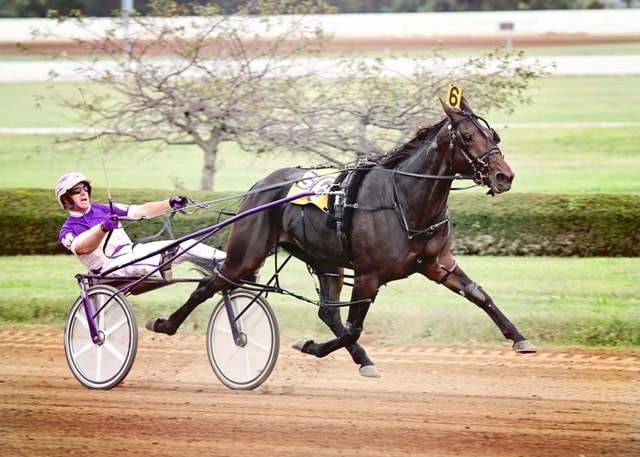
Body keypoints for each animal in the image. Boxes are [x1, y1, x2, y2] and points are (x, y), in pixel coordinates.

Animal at [146, 95, 536, 378]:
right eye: (468, 137)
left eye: (495, 137)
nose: (504, 177)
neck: (404, 199)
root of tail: (260, 186)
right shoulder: (368, 275)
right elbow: (353, 328)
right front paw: (311, 347)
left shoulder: (437, 263)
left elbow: (479, 295)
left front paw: (520, 339)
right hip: (246, 254)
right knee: (209, 283)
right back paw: (164, 324)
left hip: (326, 261)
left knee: (326, 312)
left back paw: (362, 359)